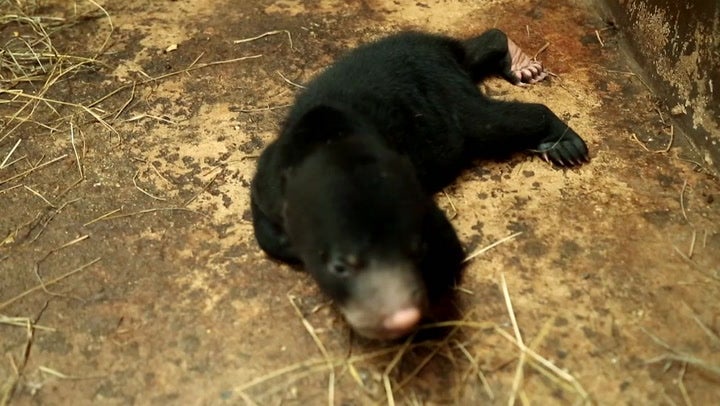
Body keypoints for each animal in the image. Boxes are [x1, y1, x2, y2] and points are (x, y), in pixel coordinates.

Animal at [249, 28, 589, 340]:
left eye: (416, 249)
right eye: (339, 266)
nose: (400, 317)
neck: (331, 141)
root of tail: (437, 48)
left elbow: (447, 248)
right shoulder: (269, 177)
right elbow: (268, 231)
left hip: (451, 95)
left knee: (497, 118)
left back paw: (564, 143)